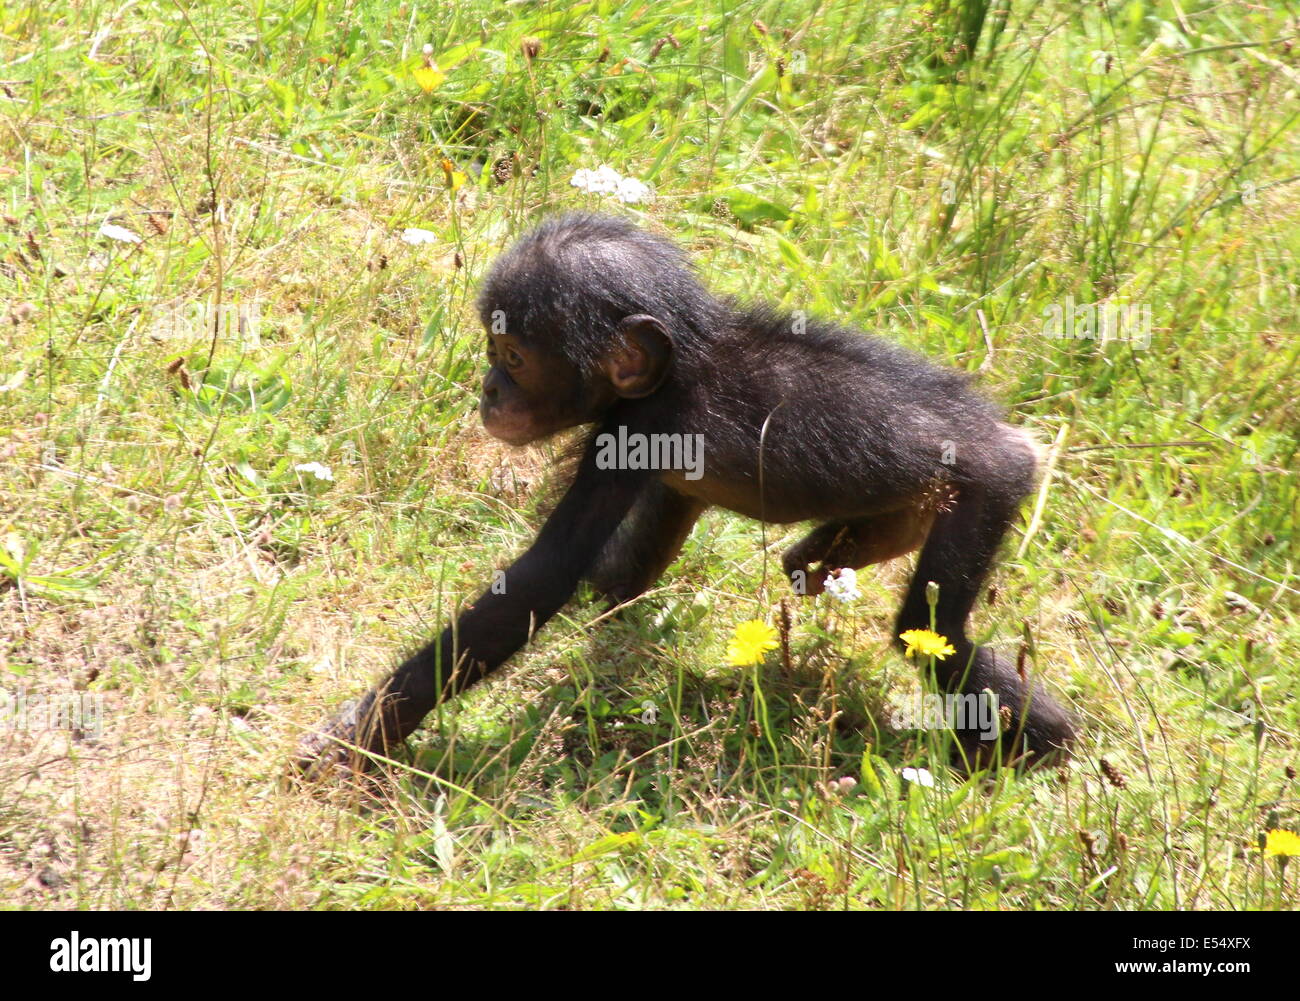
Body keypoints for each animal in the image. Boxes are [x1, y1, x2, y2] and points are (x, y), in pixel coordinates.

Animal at [295, 212, 1077, 778]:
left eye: (512, 357)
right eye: (493, 354)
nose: (489, 390)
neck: (682, 360)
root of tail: (1012, 440)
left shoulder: (633, 430)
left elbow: (538, 582)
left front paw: (357, 732)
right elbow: (640, 552)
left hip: (987, 490)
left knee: (929, 630)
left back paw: (1036, 743)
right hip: (924, 502)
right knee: (818, 561)